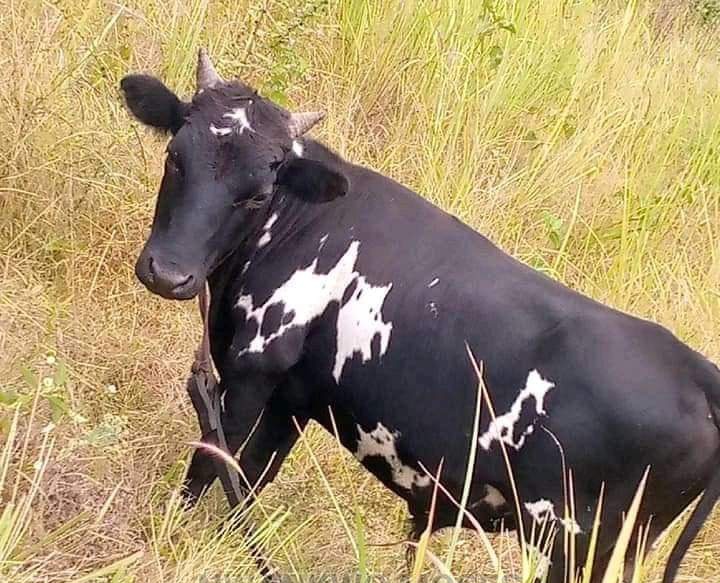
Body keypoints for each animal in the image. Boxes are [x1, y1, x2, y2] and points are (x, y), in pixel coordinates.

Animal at [120, 50, 720, 583]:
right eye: (175, 156)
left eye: (258, 192)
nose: (167, 274)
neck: (300, 224)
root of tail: (693, 367)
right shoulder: (292, 395)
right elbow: (251, 477)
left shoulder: (250, 368)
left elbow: (209, 462)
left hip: (576, 542)